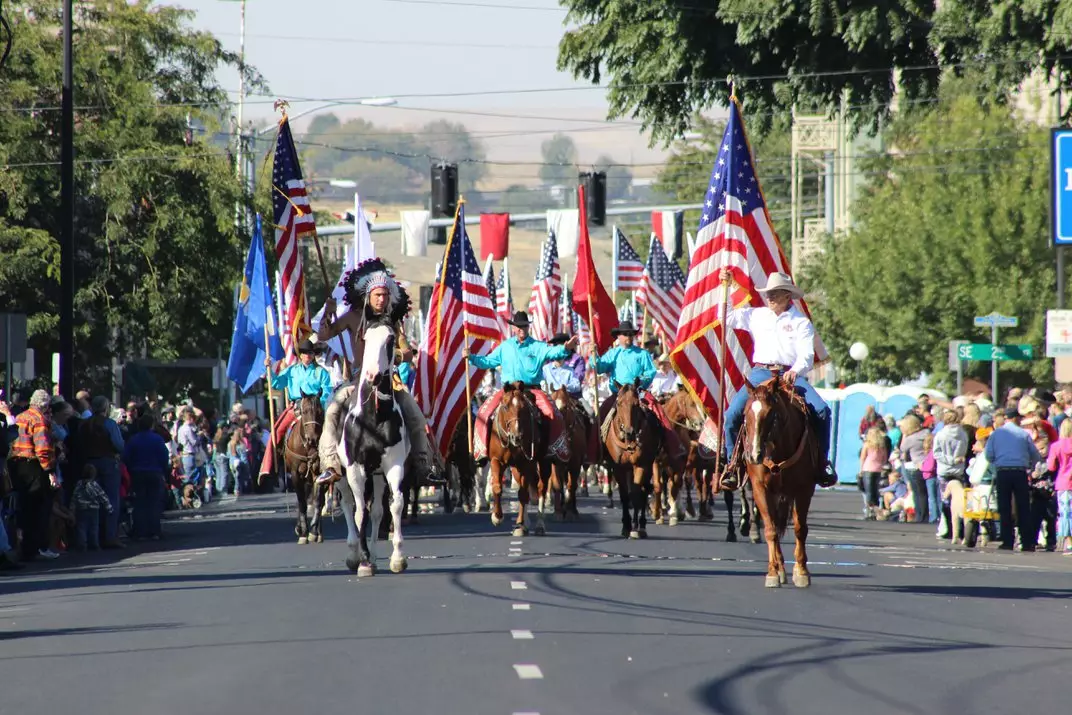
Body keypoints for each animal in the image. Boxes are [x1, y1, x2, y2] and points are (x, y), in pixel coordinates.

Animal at [285, 394, 325, 544]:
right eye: (305, 411)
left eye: (320, 412)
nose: (312, 439)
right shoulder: (295, 474)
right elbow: (301, 502)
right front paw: (303, 533)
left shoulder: (320, 473)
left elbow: (318, 501)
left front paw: (313, 531)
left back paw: (318, 532)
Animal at [336, 323, 411, 574]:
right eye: (366, 338)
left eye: (390, 339)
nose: (373, 375)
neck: (373, 418)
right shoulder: (355, 468)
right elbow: (360, 512)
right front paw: (363, 560)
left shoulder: (393, 466)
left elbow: (395, 505)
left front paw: (397, 557)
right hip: (341, 473)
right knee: (348, 503)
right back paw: (353, 554)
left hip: (377, 475)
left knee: (377, 510)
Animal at [488, 383, 548, 533]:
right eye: (505, 407)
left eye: (524, 408)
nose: (517, 437)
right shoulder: (496, 460)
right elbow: (497, 487)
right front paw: (497, 516)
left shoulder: (527, 463)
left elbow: (523, 494)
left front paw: (520, 524)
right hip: (516, 469)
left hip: (544, 463)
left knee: (541, 489)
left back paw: (539, 524)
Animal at [604, 385, 660, 535]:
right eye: (619, 403)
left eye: (636, 404)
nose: (629, 431)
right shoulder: (618, 467)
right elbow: (625, 495)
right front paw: (626, 526)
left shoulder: (641, 465)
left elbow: (636, 493)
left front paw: (635, 527)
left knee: (643, 490)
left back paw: (641, 524)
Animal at [737, 375, 819, 587]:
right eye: (745, 413)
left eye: (771, 414)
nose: (753, 455)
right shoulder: (760, 488)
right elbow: (771, 530)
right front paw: (773, 573)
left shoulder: (804, 489)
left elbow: (800, 529)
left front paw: (802, 571)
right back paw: (779, 568)